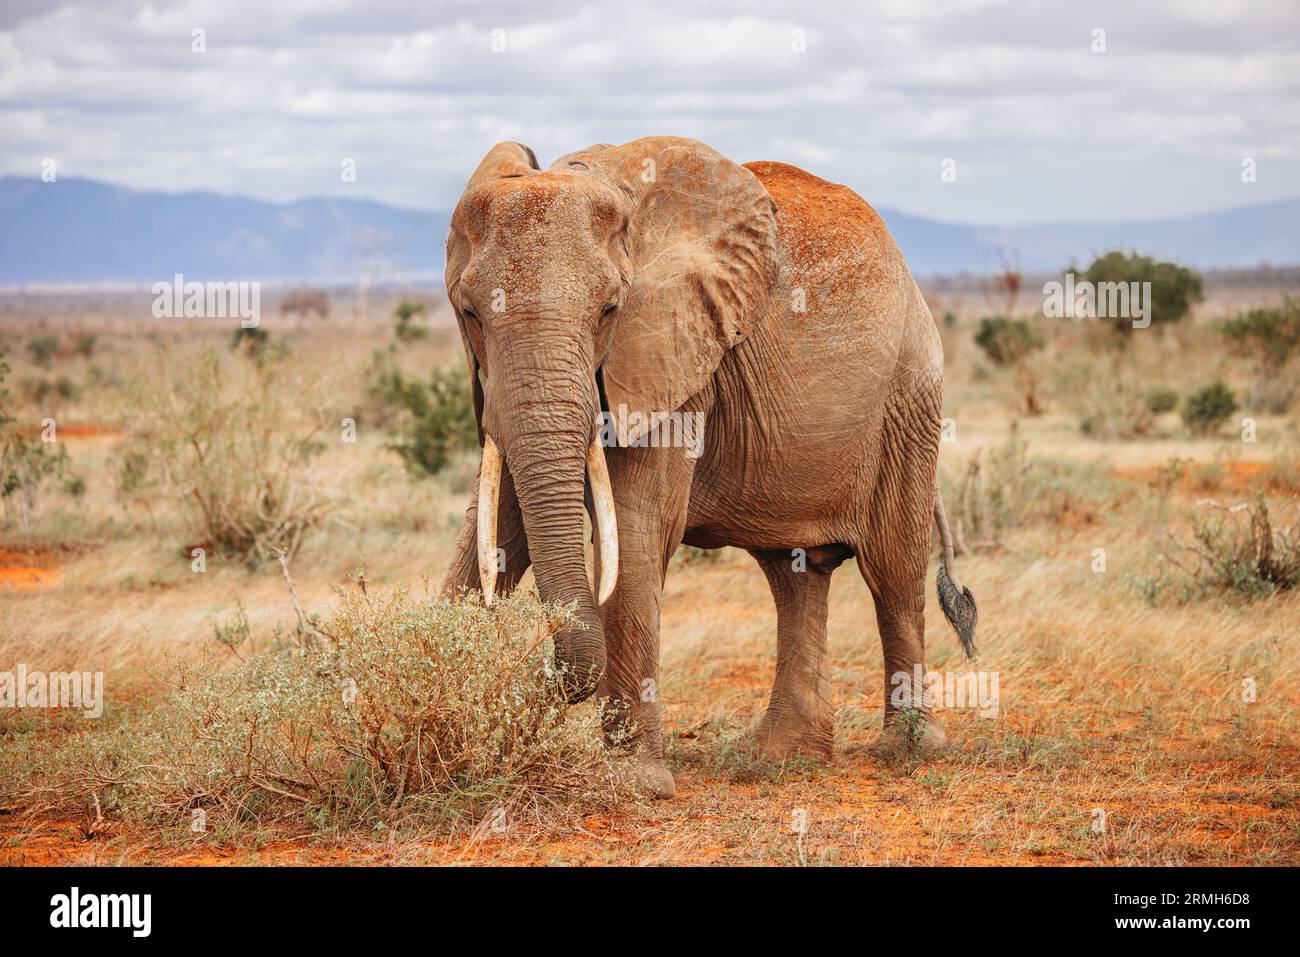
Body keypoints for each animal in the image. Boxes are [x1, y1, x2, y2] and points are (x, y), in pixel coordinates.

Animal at [440, 136, 977, 799]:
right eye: (469, 314)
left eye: (610, 310)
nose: (544, 679)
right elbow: (499, 527)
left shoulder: (675, 360)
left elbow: (640, 531)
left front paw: (635, 785)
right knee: (796, 575)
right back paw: (781, 758)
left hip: (909, 399)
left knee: (893, 573)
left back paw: (910, 750)